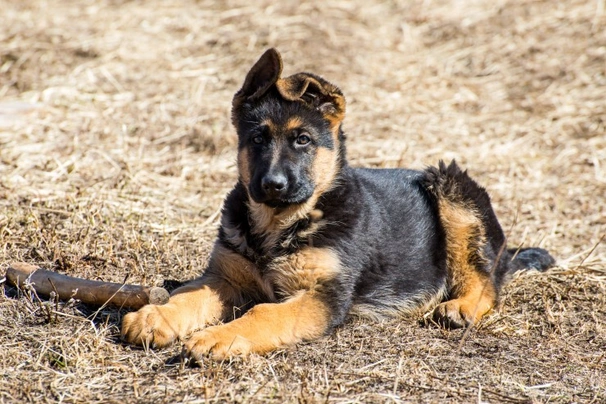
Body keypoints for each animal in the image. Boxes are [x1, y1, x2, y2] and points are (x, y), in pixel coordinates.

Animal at [122, 48, 556, 360]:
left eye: (302, 140)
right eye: (258, 139)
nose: (273, 185)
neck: (281, 222)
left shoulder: (322, 296)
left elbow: (263, 313)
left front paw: (221, 337)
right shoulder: (225, 278)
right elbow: (187, 294)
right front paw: (155, 317)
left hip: (451, 189)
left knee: (486, 280)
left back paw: (460, 305)